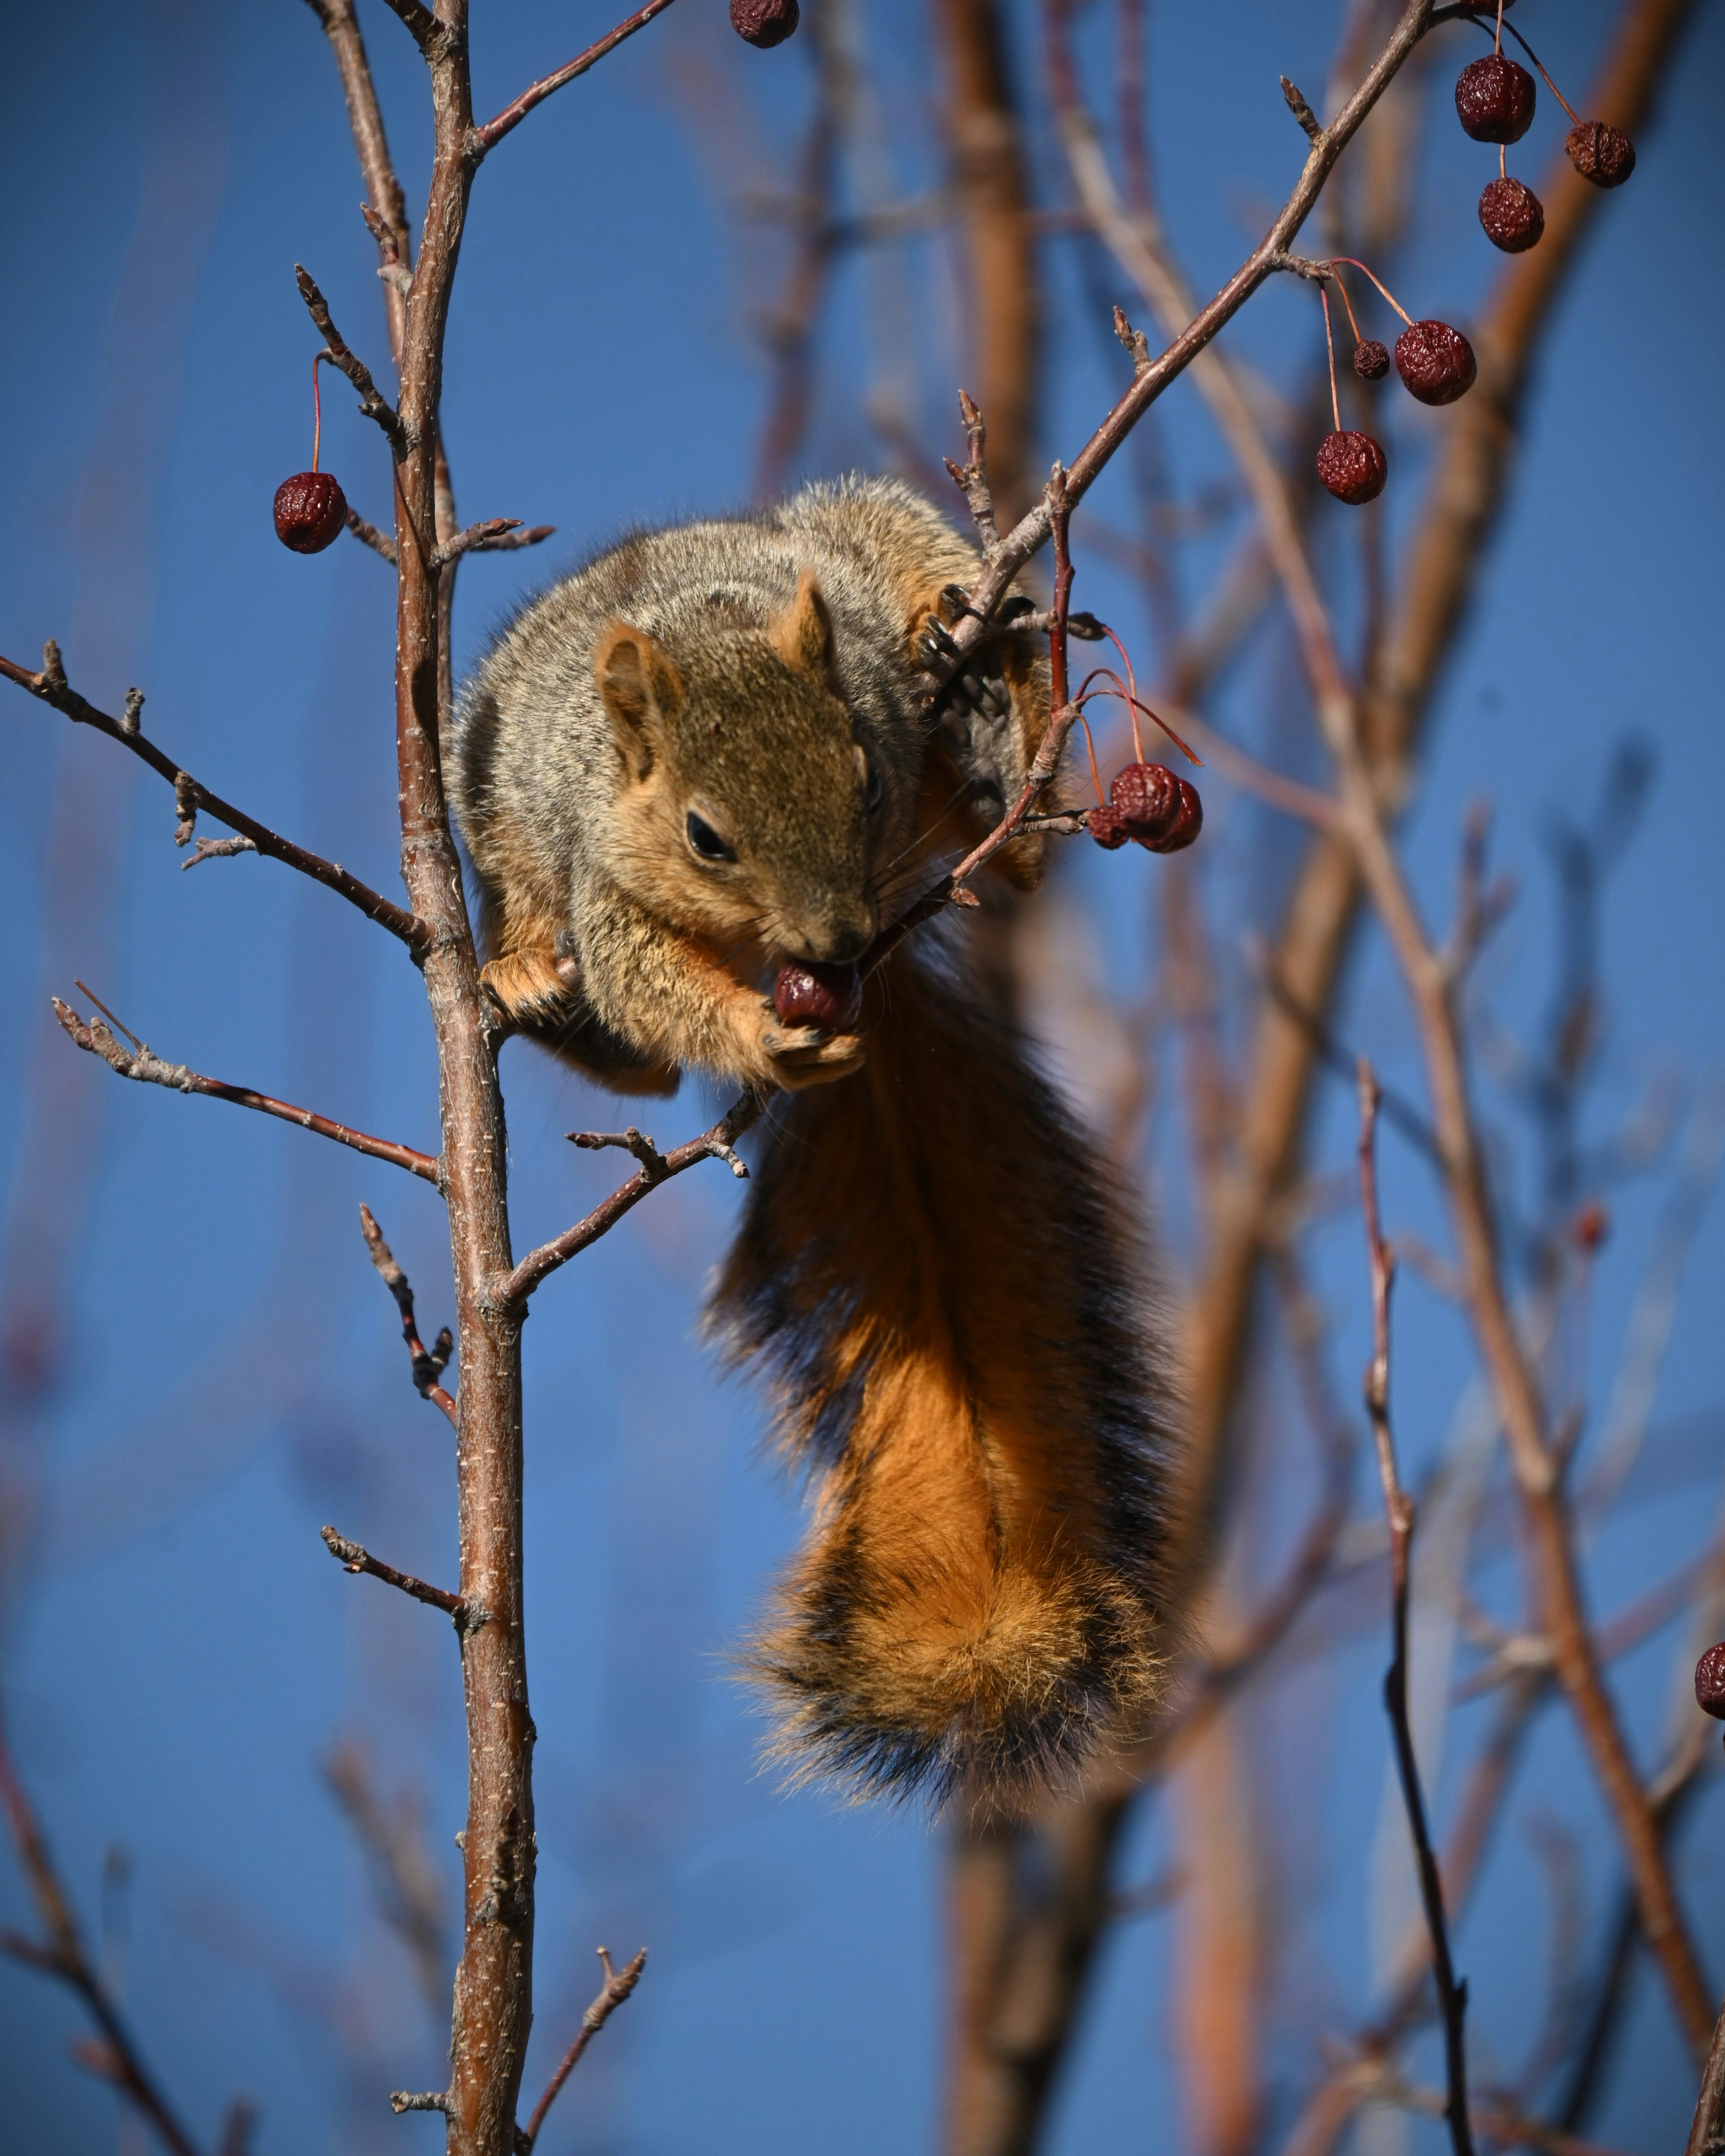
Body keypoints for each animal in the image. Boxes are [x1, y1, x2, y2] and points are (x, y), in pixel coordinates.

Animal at [453, 476, 1182, 1809]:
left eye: (864, 783)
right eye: (705, 834)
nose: (835, 945)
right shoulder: (608, 885)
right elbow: (642, 981)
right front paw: (756, 1036)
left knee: (1026, 844)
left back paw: (990, 690)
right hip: (498, 817)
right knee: (626, 1044)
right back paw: (532, 982)